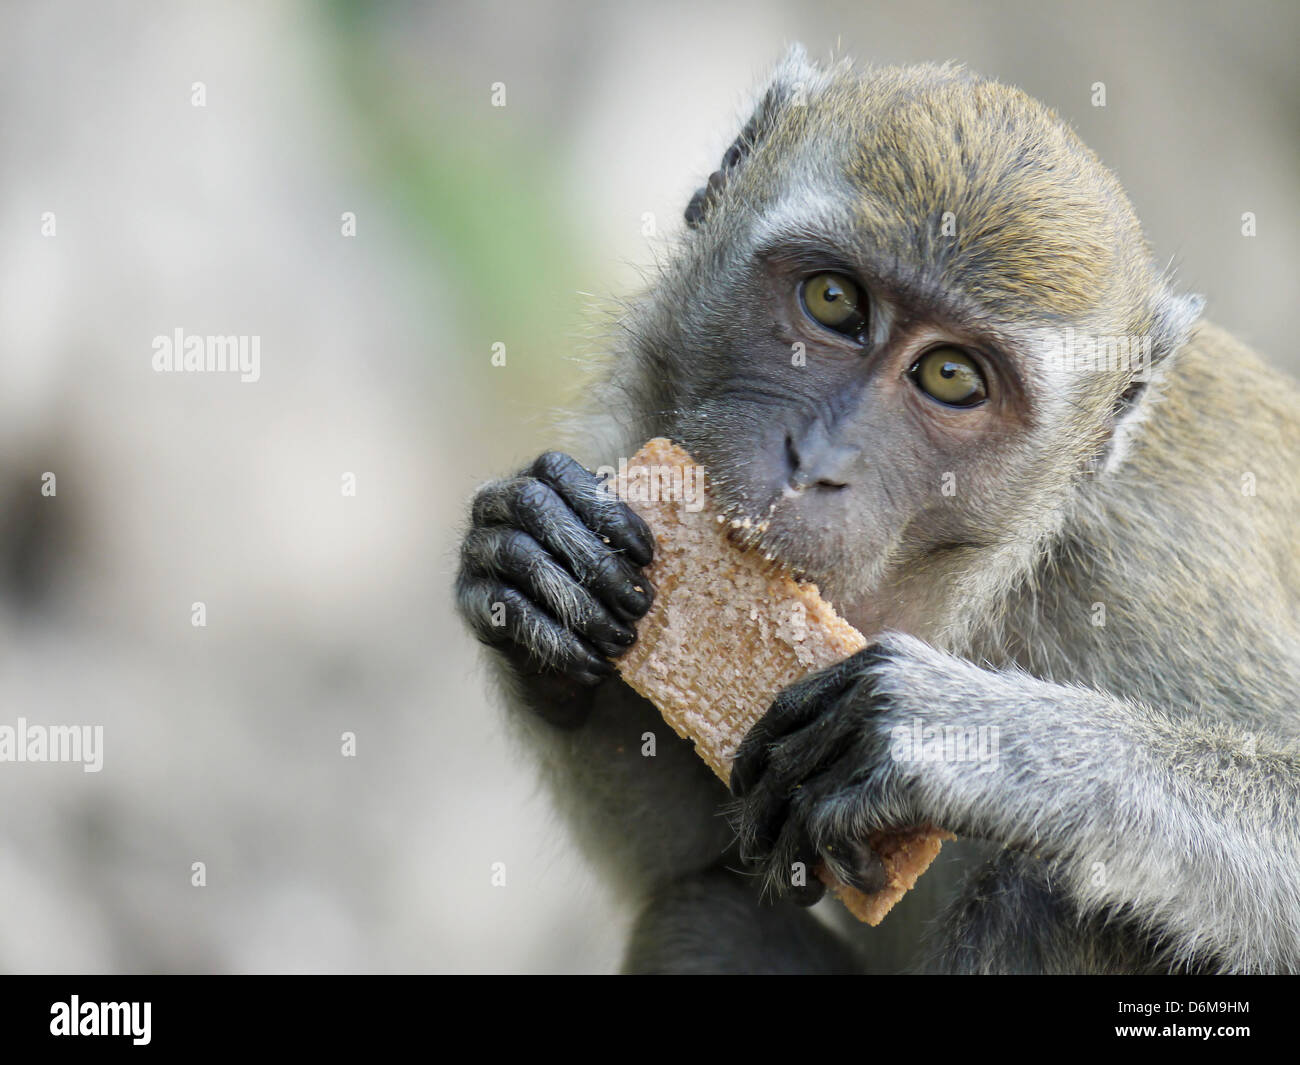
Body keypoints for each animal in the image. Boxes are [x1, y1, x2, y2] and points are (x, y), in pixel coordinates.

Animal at [455, 46, 1300, 974]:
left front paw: (972, 734)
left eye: (952, 377)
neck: (996, 574)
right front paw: (534, 575)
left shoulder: (1156, 578)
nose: (816, 462)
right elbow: (695, 864)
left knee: (1058, 892)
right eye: (834, 300)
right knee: (701, 916)